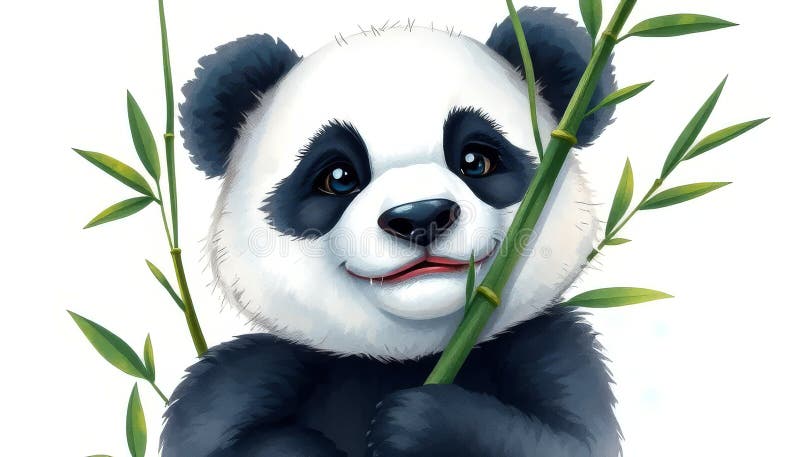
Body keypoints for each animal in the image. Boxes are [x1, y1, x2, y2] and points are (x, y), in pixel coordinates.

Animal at [162, 6, 620, 457]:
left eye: (476, 161)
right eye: (338, 177)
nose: (420, 216)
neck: (406, 359)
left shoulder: (554, 351)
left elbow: (567, 440)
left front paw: (413, 420)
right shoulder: (244, 376)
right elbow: (230, 430)